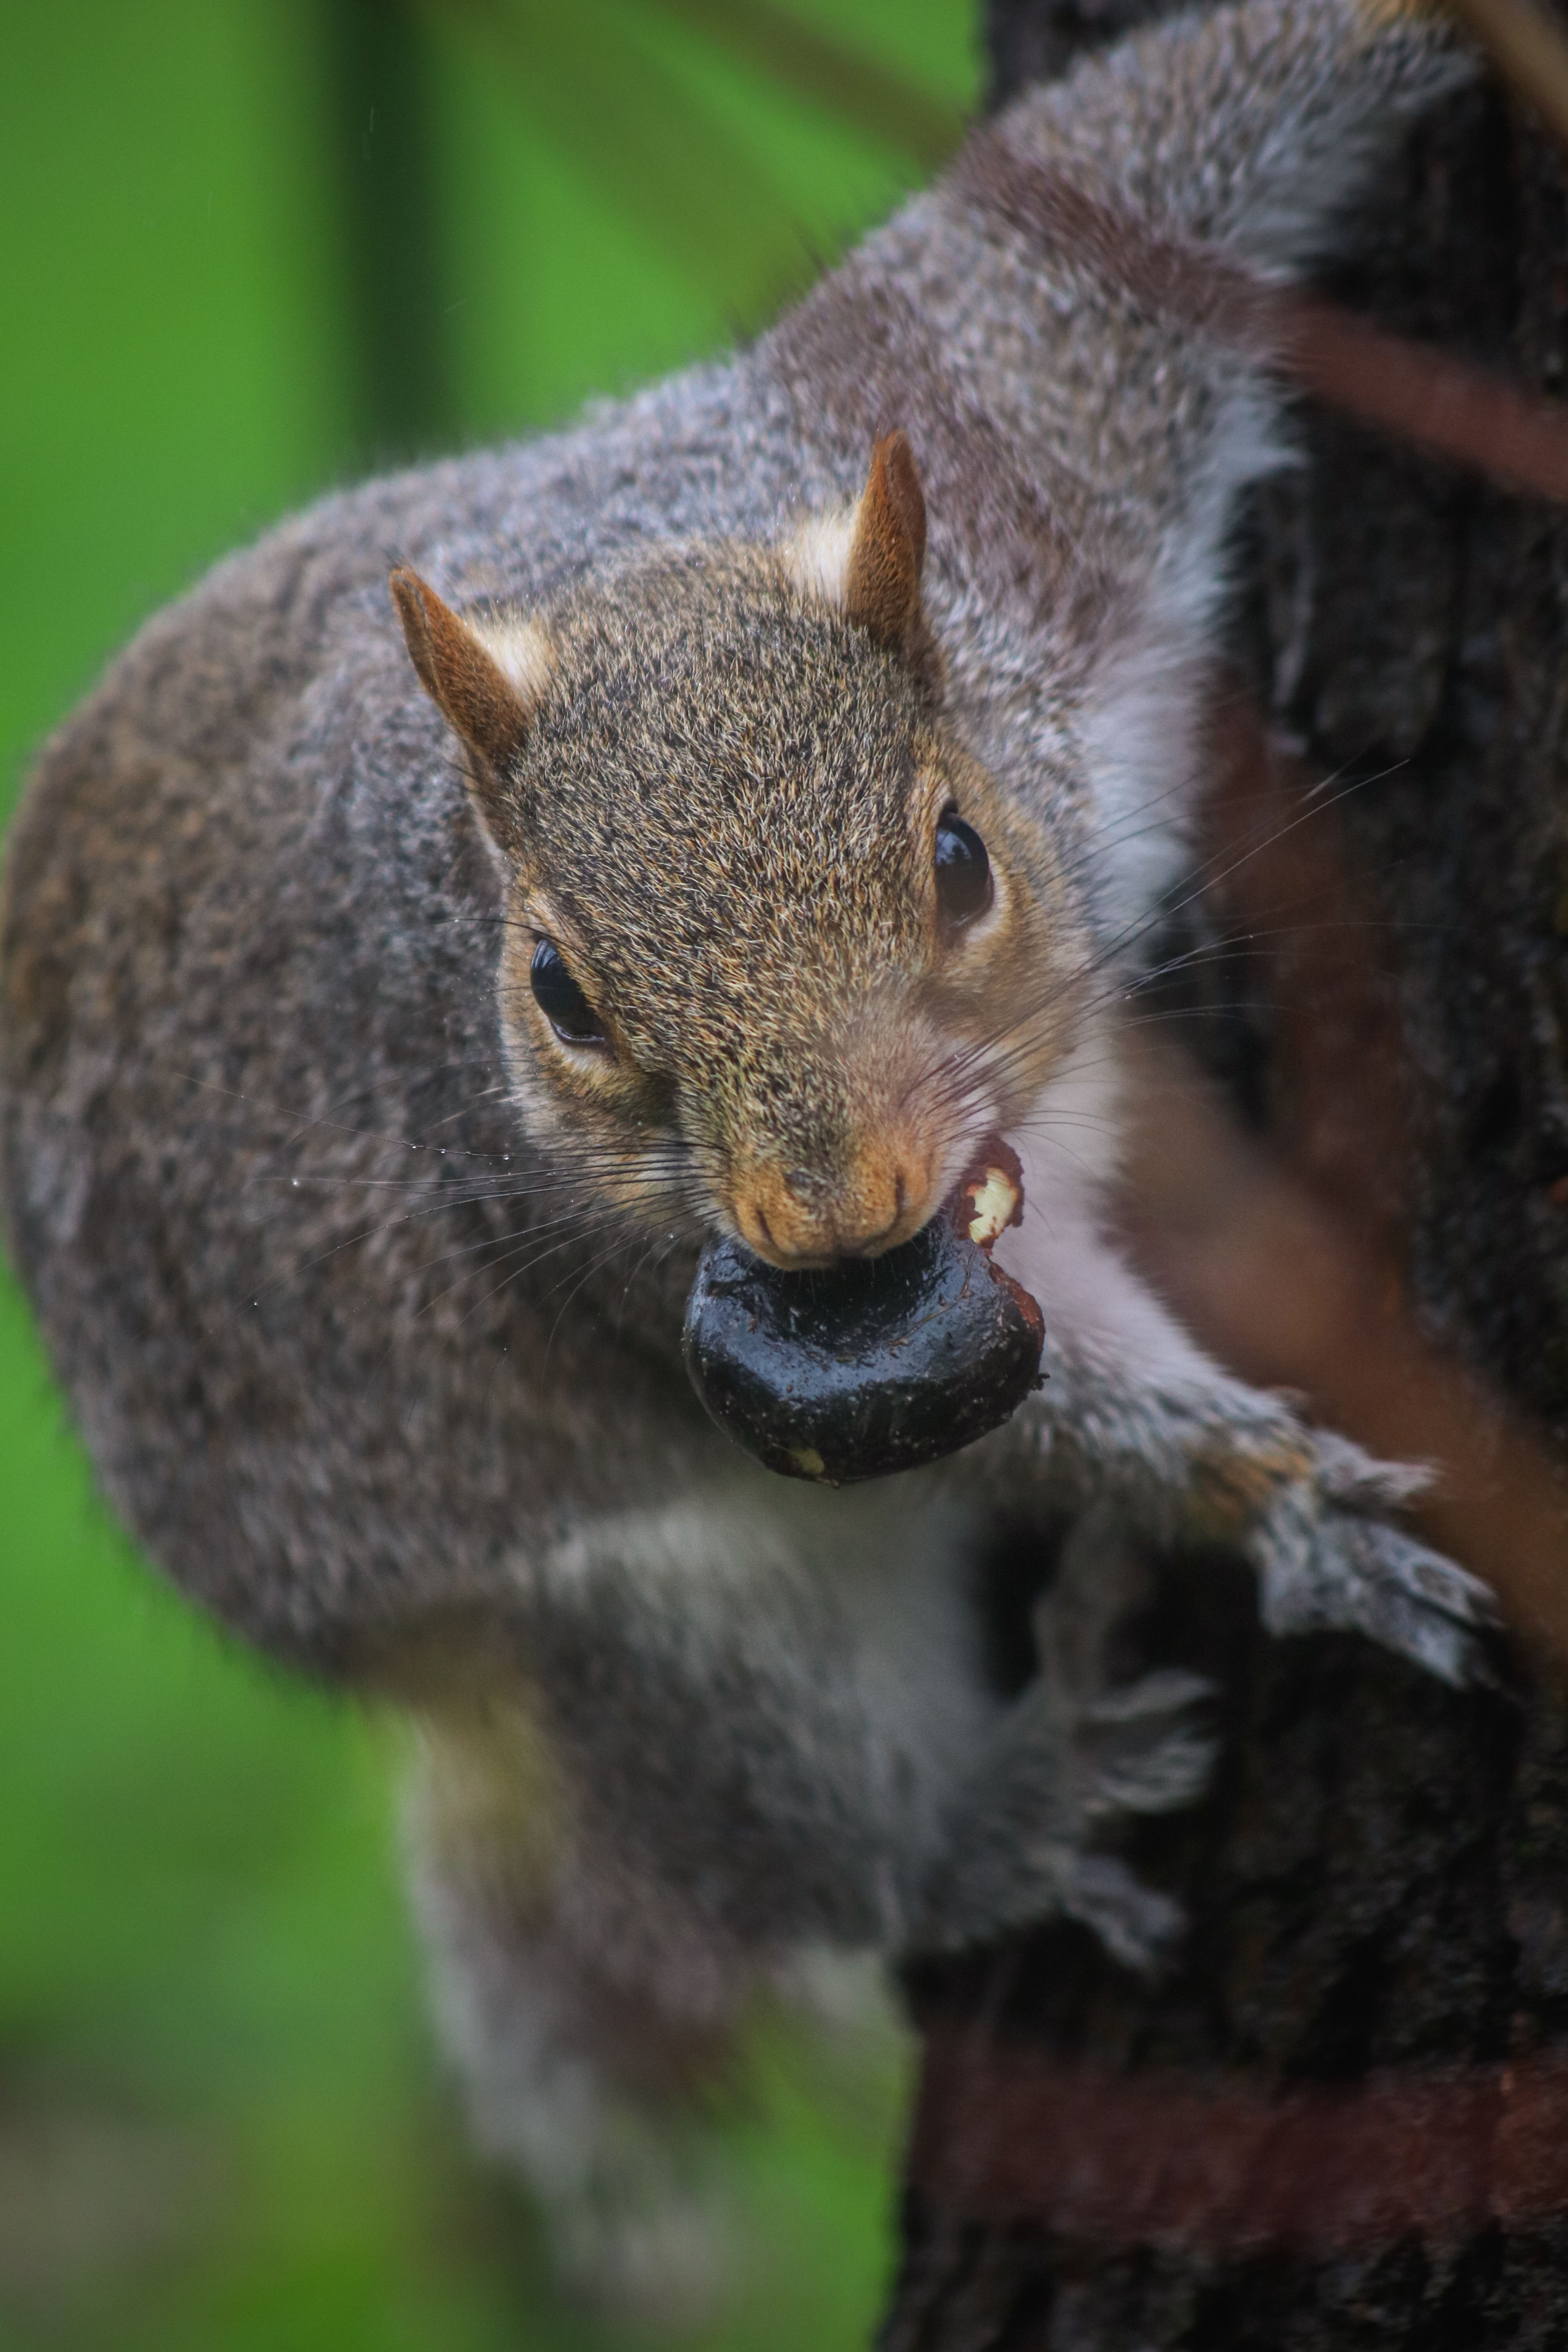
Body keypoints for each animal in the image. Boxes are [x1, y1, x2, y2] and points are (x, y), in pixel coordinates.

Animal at [0, 0, 1496, 2310]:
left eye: (958, 855)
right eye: (559, 992)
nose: (826, 1217)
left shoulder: (1028, 417)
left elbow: (1143, 164)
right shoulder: (600, 1264)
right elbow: (1047, 1415)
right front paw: (1274, 1491)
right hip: (653, 1639)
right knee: (797, 1831)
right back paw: (1010, 1812)